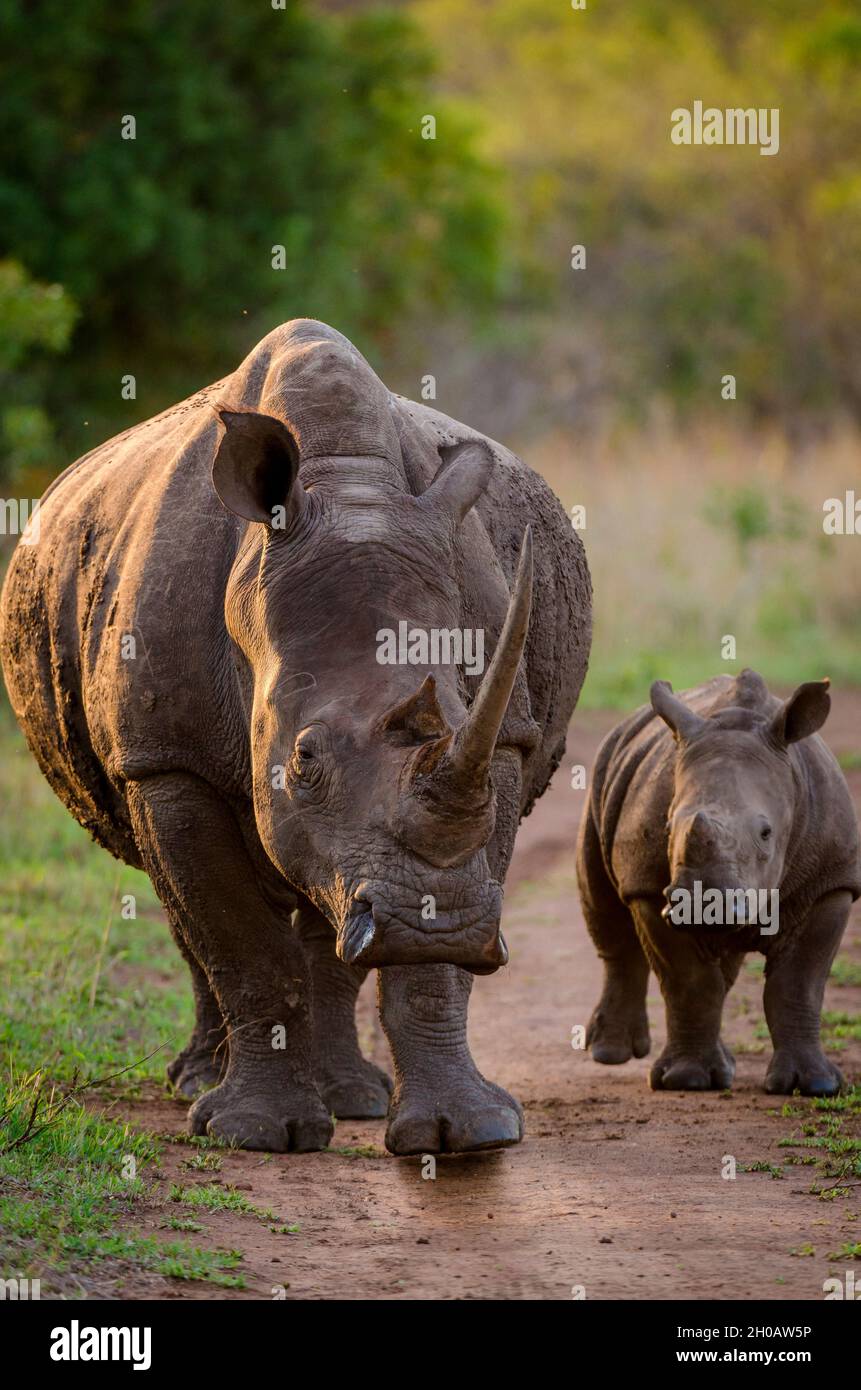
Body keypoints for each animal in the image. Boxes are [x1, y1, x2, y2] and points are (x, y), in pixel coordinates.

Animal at [1, 318, 591, 1153]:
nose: (432, 923)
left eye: (462, 706)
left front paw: (466, 1133)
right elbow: (237, 940)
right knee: (186, 909)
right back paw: (202, 1087)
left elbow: (427, 959)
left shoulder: (502, 740)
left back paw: (354, 1099)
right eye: (302, 760)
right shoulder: (164, 760)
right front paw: (254, 1134)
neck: (346, 487)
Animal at [577, 669, 861, 1096]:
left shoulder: (831, 881)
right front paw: (686, 1079)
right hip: (604, 767)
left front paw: (814, 1085)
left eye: (766, 833)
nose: (705, 907)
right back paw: (612, 1053)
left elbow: (800, 983)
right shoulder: (649, 891)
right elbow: (690, 982)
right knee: (605, 909)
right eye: (667, 828)